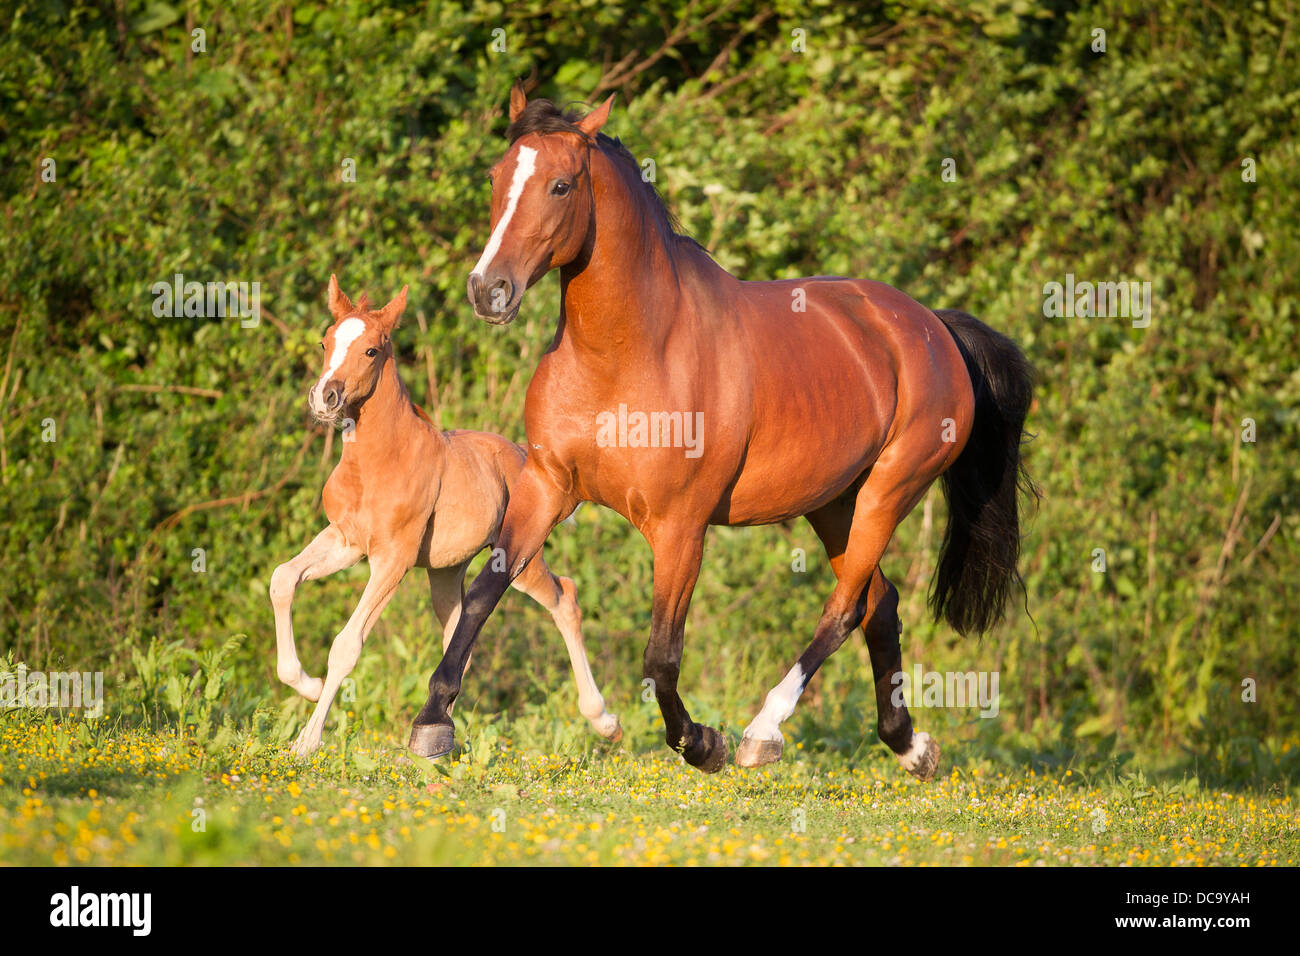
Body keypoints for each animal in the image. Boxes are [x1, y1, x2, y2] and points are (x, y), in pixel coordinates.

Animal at [270, 275, 621, 757]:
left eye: (371, 350)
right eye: (325, 341)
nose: (325, 397)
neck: (377, 463)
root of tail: (523, 456)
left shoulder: (393, 560)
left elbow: (346, 644)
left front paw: (306, 742)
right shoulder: (346, 542)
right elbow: (283, 578)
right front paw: (306, 683)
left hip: (519, 559)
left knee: (564, 598)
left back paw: (604, 721)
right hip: (445, 571)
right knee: (459, 634)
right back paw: (439, 732)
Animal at [409, 83, 1034, 779]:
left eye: (561, 185)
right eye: (497, 177)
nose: (488, 290)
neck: (628, 352)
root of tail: (934, 327)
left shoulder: (681, 526)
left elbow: (661, 654)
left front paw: (702, 743)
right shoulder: (546, 487)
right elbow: (485, 590)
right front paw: (432, 723)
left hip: (890, 491)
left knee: (845, 607)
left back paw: (764, 733)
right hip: (835, 504)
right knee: (881, 603)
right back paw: (909, 745)